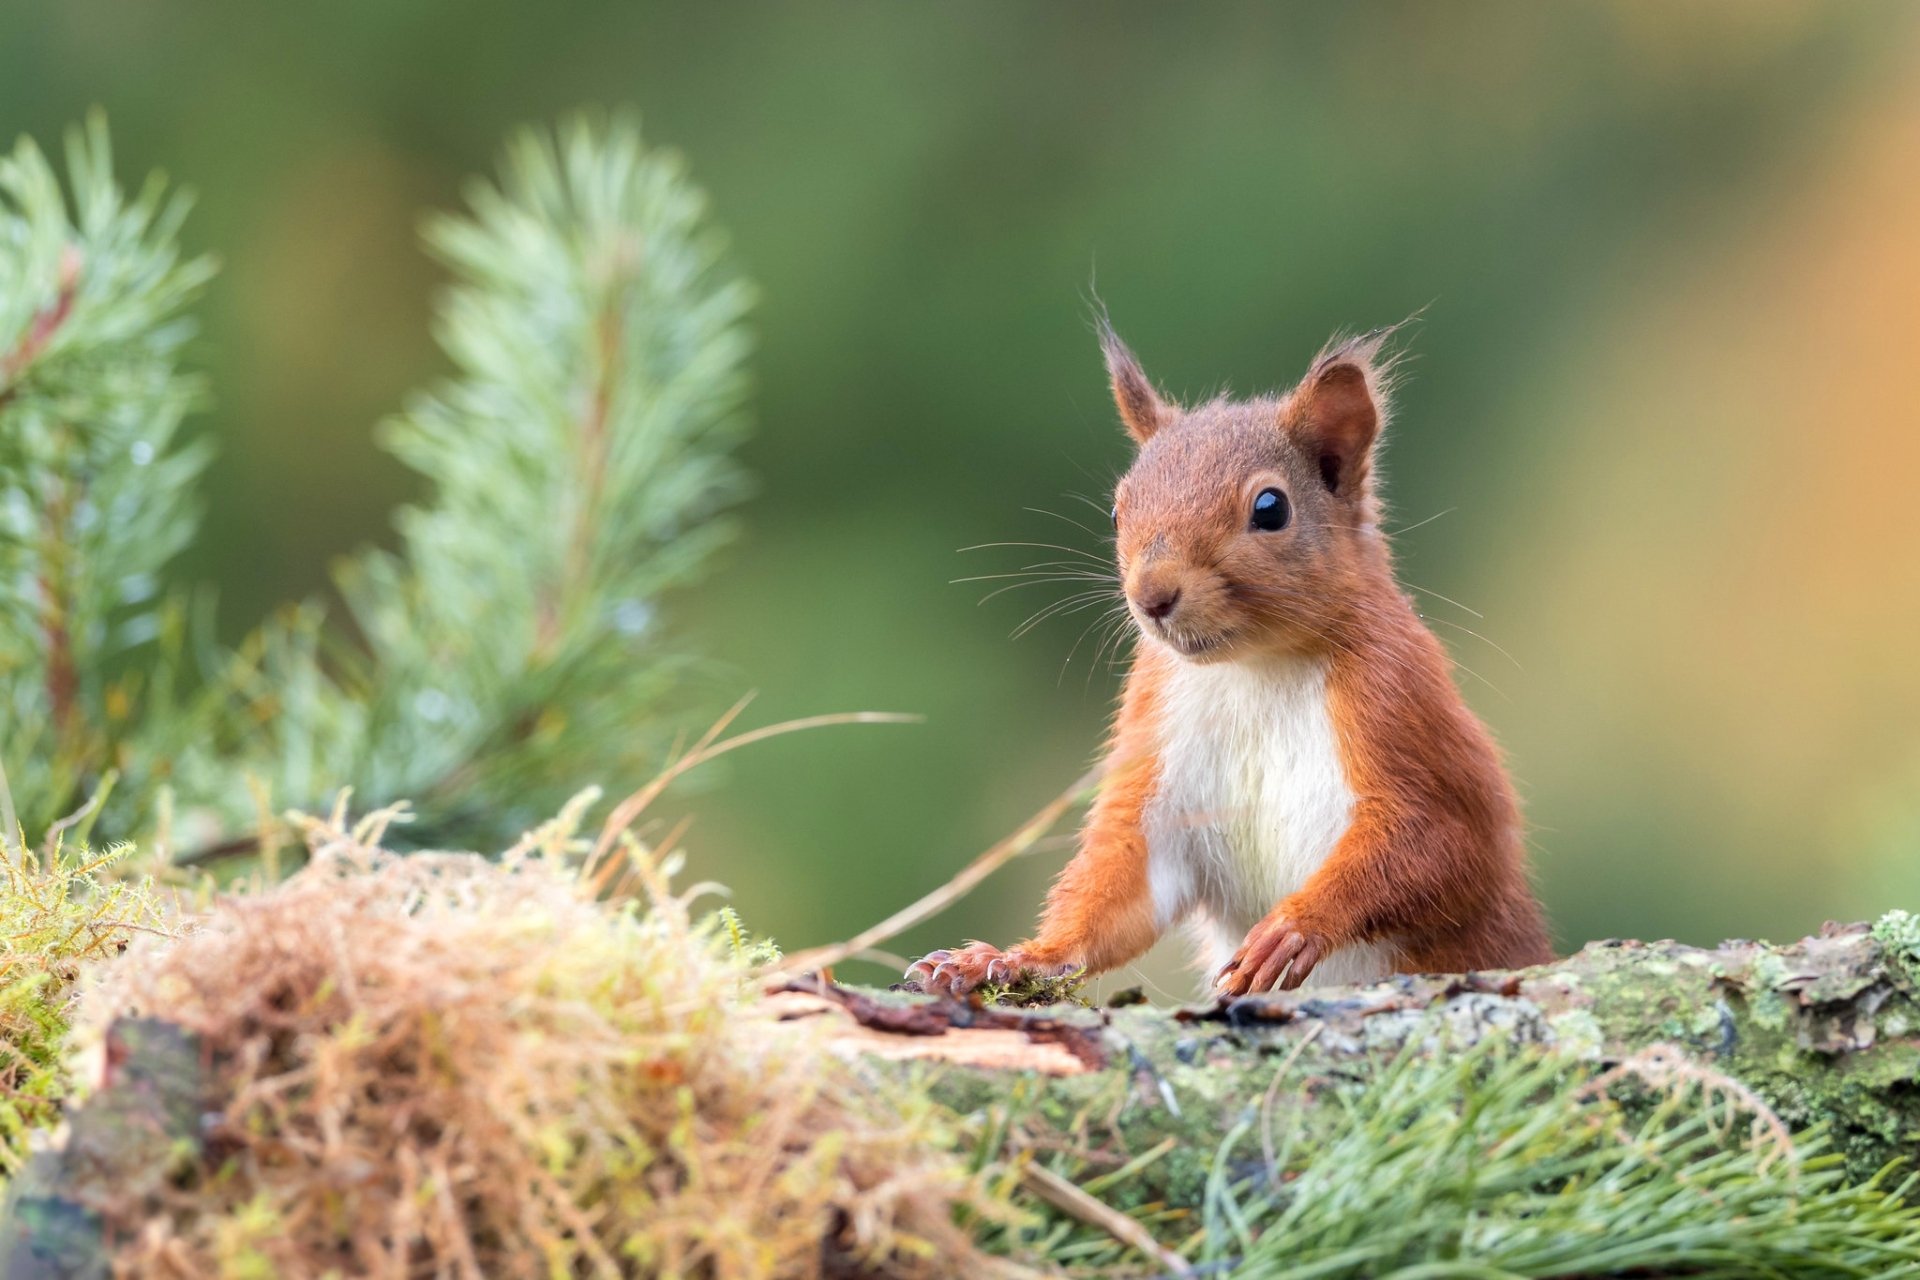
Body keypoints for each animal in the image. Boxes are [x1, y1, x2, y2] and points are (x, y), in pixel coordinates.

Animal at [908, 322, 1553, 998]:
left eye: (1271, 508)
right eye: (1116, 509)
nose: (1152, 596)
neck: (1252, 668)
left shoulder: (1402, 708)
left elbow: (1438, 845)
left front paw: (1293, 928)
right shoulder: (1155, 735)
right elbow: (1119, 886)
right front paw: (1011, 958)